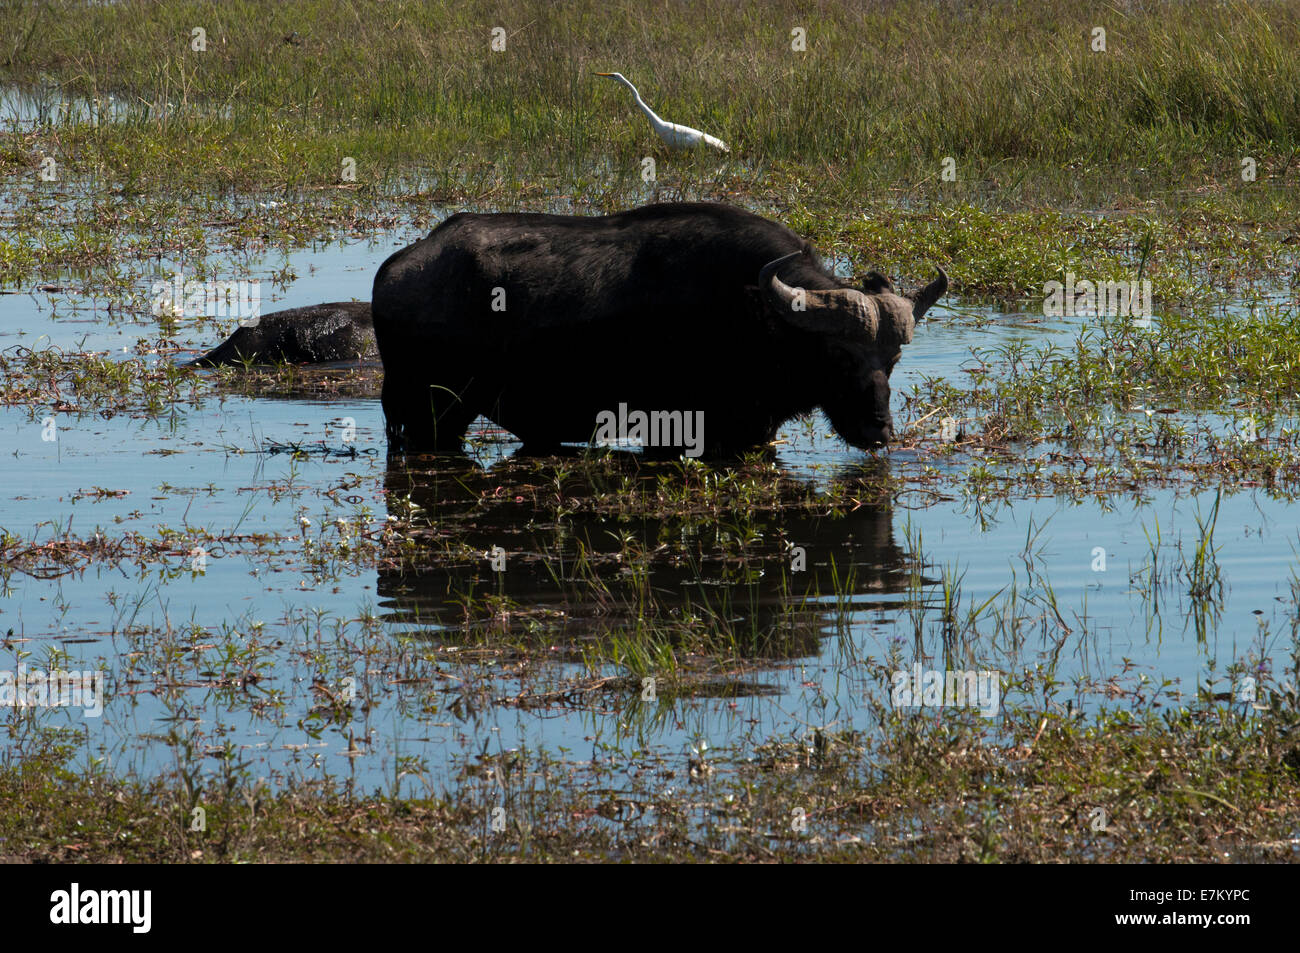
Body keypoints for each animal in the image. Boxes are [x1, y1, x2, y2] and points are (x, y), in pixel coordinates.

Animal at [372, 202, 946, 456]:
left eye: (892, 361)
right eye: (840, 355)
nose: (880, 431)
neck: (751, 310)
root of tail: (397, 269)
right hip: (428, 416)